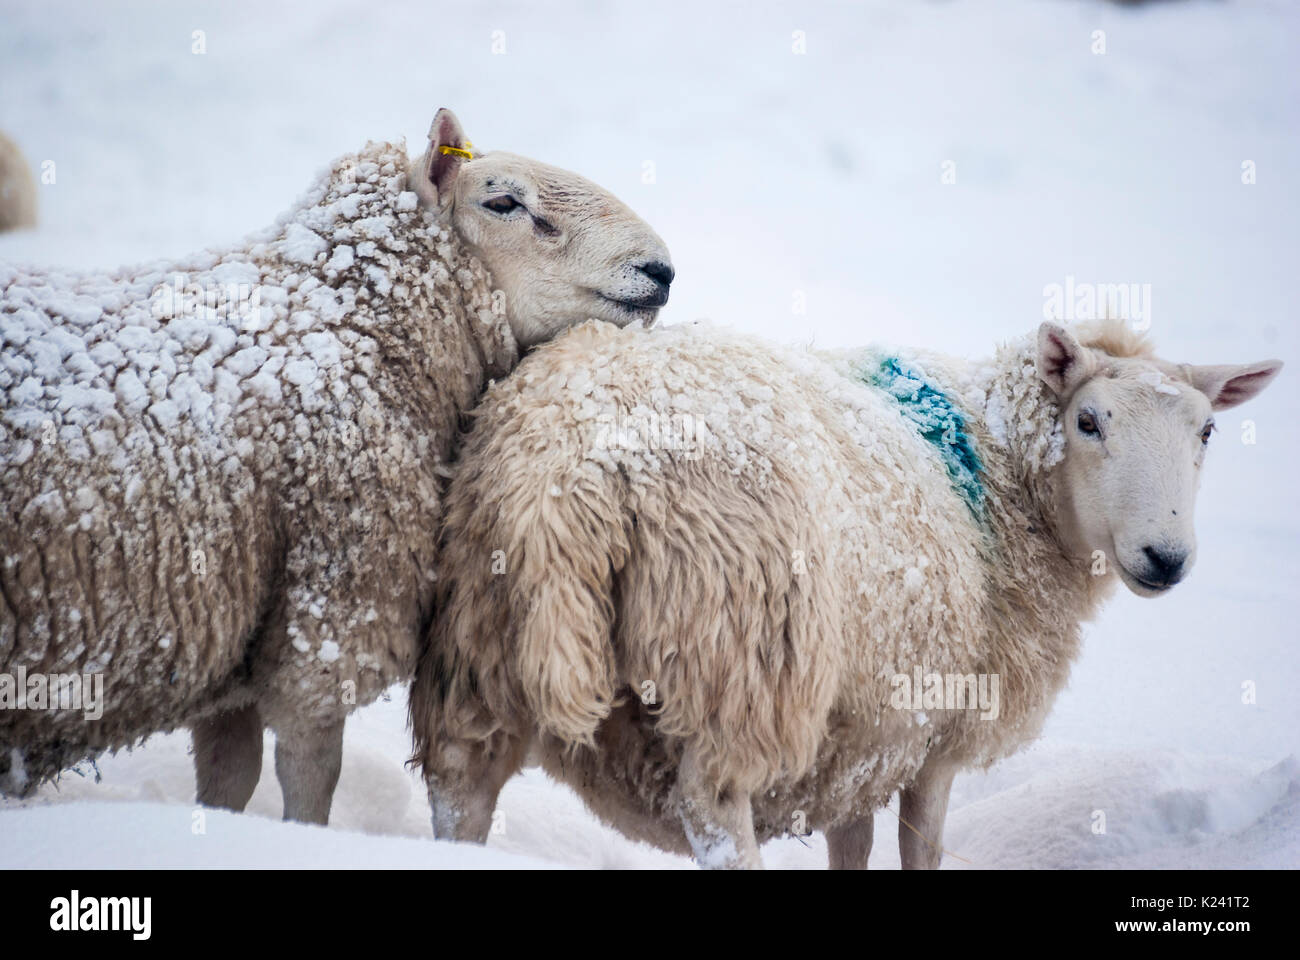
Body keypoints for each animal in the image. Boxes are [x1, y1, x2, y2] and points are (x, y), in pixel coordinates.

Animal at [0, 107, 673, 823]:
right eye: (503, 202)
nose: (660, 269)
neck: (350, 324)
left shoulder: (235, 641)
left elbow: (229, 778)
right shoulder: (328, 616)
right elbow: (310, 775)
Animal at [411, 317, 1282, 867]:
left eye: (1206, 431)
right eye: (1090, 421)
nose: (1166, 557)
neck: (1000, 471)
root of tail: (568, 467)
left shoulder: (865, 730)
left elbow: (853, 846)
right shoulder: (934, 730)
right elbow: (918, 846)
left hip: (479, 640)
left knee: (459, 785)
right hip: (739, 659)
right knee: (714, 812)